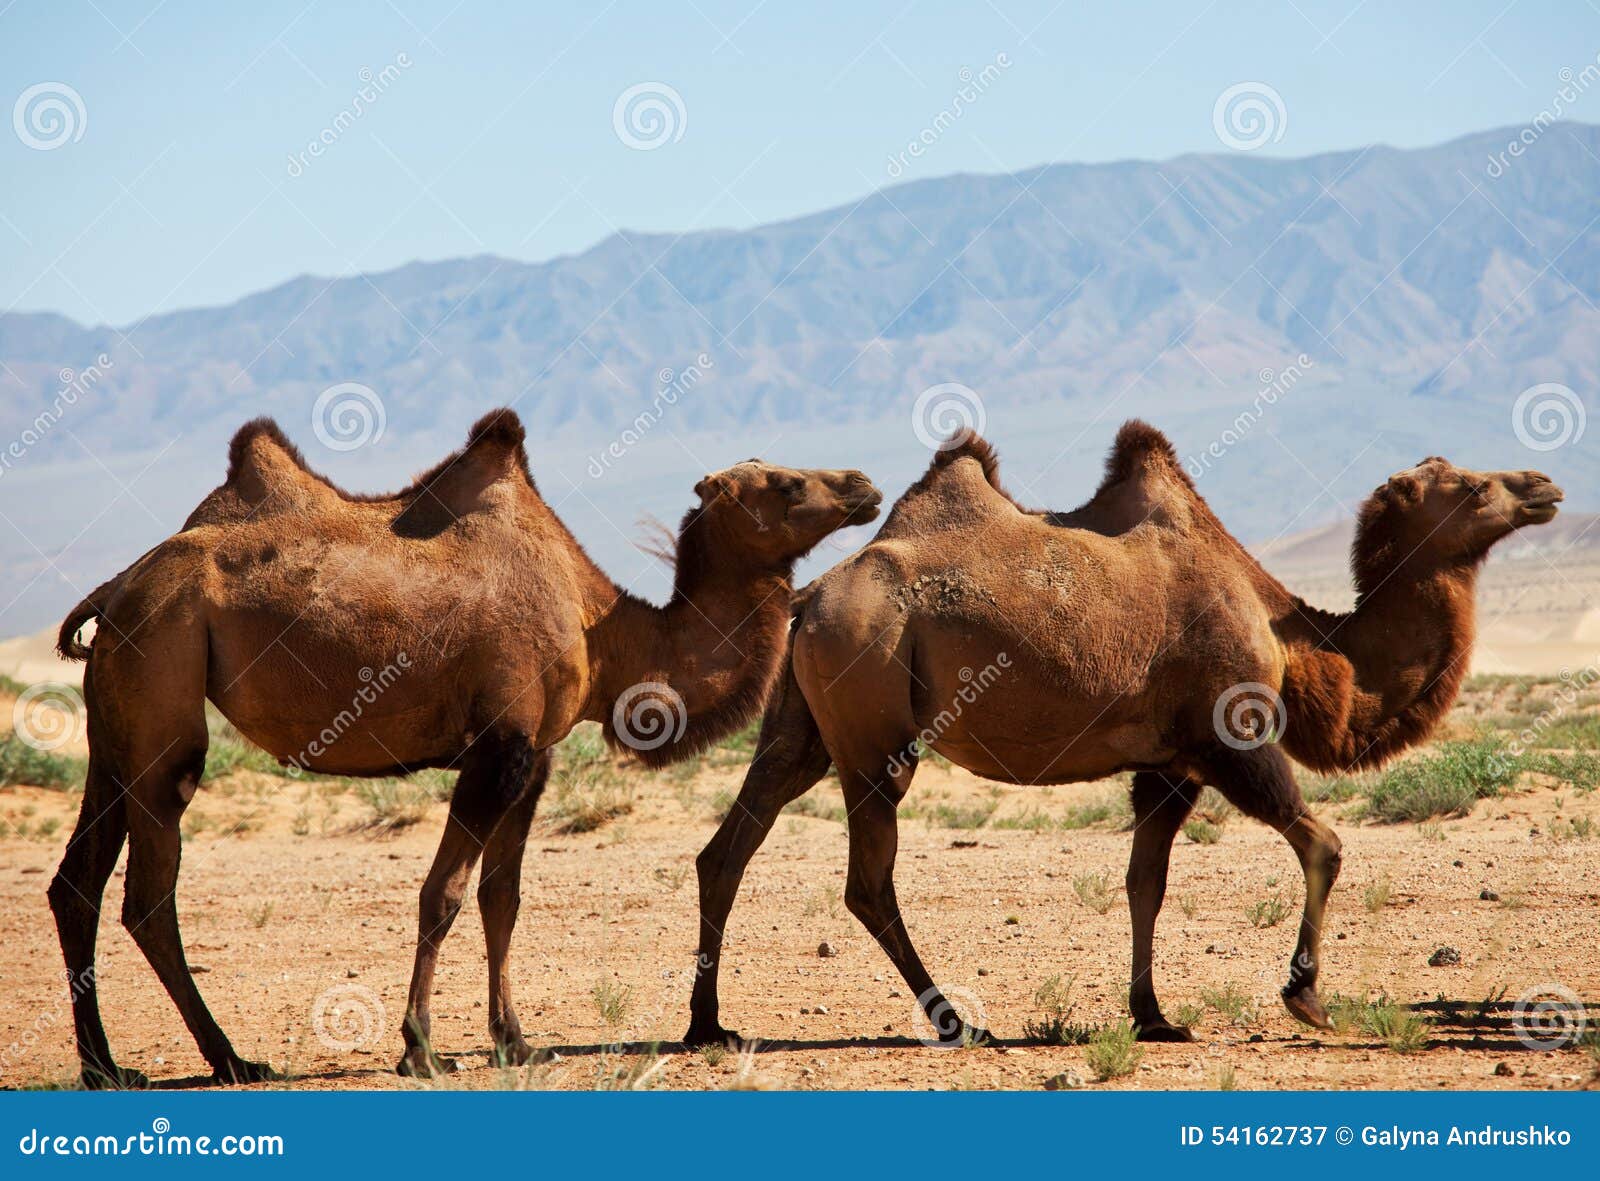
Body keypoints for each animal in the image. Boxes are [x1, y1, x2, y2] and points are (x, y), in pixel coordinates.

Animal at [49, 408, 881, 1087]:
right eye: (785, 482)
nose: (864, 484)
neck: (603, 630)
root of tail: (115, 589)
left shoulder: (535, 757)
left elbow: (500, 897)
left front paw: (515, 1039)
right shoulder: (498, 748)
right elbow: (442, 893)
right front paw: (420, 1048)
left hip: (114, 727)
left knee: (76, 881)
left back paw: (106, 1067)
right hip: (165, 683)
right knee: (149, 893)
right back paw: (228, 1058)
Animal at [685, 420, 1563, 1048]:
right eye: (1470, 486)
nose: (1543, 484)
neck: (1295, 640)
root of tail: (809, 599)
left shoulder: (1169, 763)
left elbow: (1146, 880)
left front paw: (1153, 1013)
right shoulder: (1230, 736)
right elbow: (1322, 842)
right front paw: (1306, 995)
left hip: (800, 729)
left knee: (727, 849)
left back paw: (707, 1025)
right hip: (873, 732)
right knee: (867, 881)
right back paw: (955, 1019)